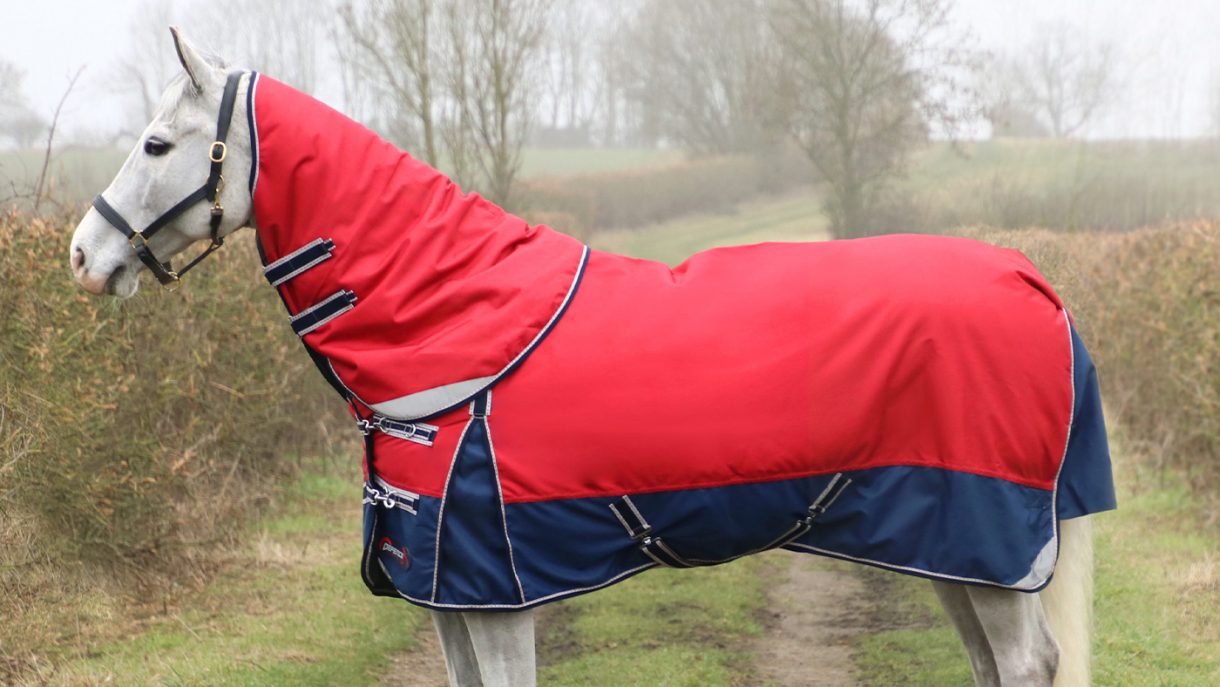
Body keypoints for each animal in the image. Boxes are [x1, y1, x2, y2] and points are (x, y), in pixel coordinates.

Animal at [70, 29, 1114, 687]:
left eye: (156, 143)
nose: (84, 254)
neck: (455, 318)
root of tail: (1034, 281)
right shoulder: (444, 594)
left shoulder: (493, 594)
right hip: (954, 548)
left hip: (988, 540)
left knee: (1025, 662)